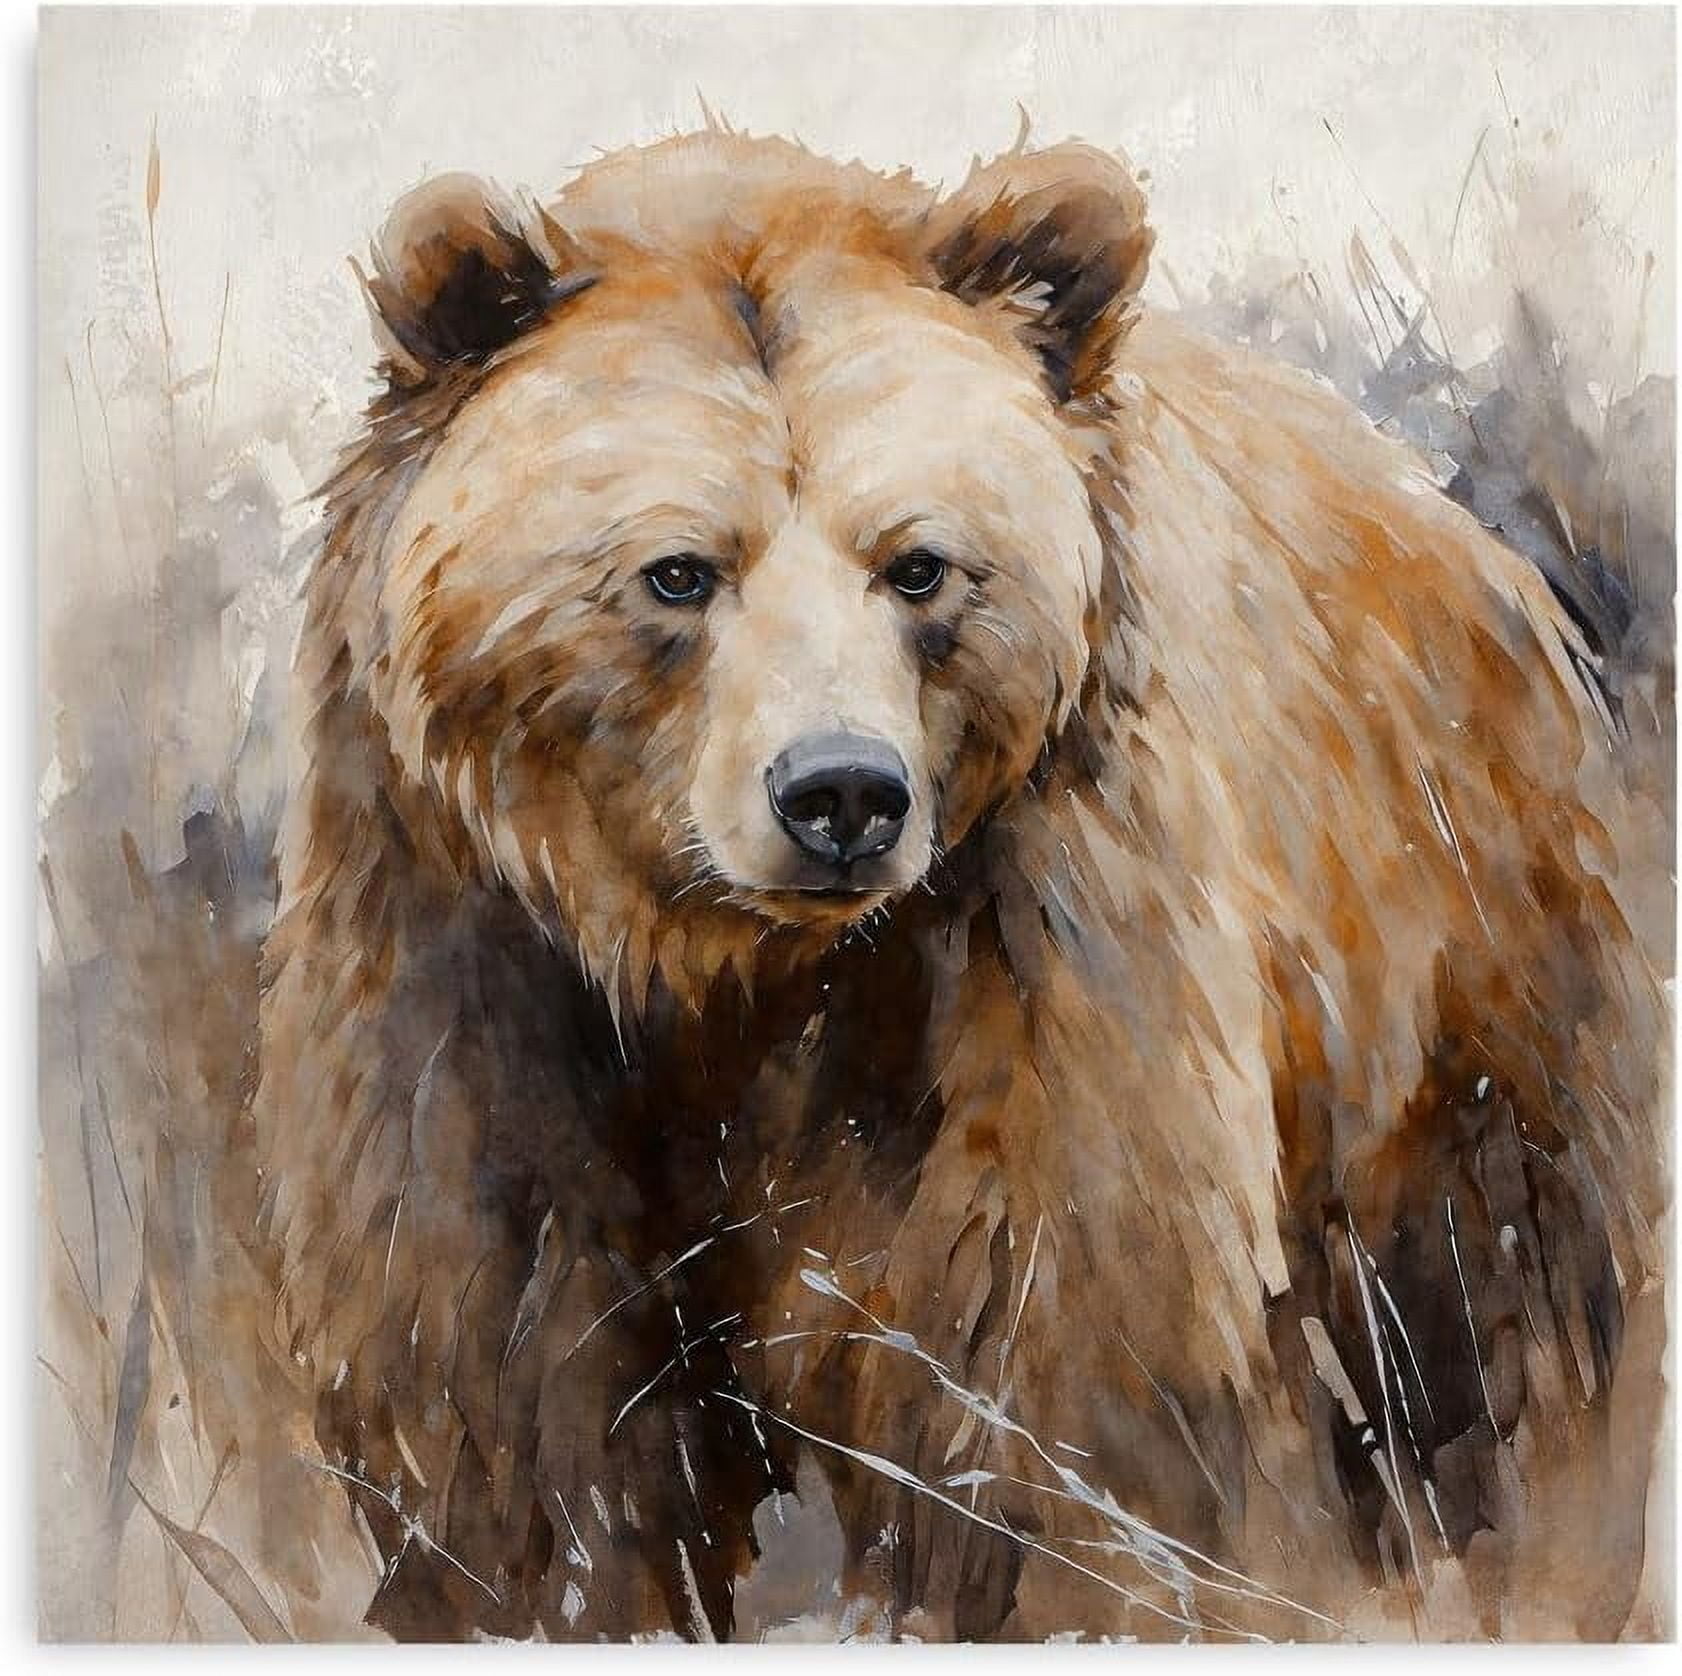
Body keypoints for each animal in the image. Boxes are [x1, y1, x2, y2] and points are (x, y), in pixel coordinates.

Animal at [250, 130, 1668, 1642]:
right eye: (677, 571)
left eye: (919, 565)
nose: (839, 795)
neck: (730, 973)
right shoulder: (460, 956)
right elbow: (512, 1397)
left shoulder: (1029, 946)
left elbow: (1051, 1371)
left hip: (1459, 996)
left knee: (1500, 1332)